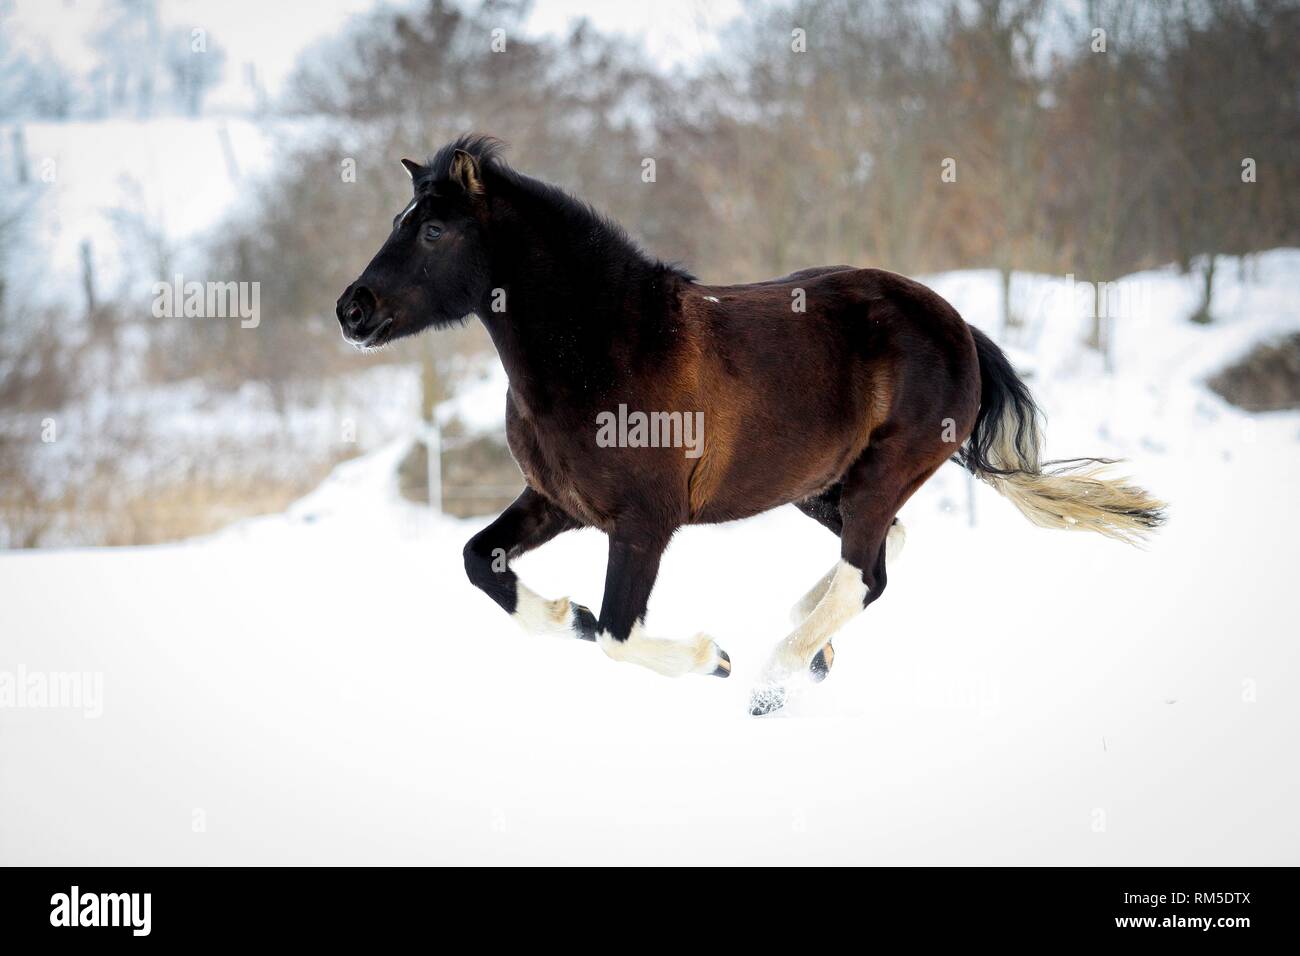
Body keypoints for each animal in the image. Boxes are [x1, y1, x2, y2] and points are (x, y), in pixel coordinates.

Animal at [336, 134, 1165, 715]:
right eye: (399, 221)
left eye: (433, 231)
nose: (352, 310)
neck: (607, 346)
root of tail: (956, 325)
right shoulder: (557, 502)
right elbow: (482, 562)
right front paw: (566, 613)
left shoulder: (643, 524)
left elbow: (617, 634)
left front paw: (714, 659)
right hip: (818, 485)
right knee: (878, 557)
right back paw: (810, 649)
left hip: (881, 474)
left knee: (865, 574)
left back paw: (771, 679)